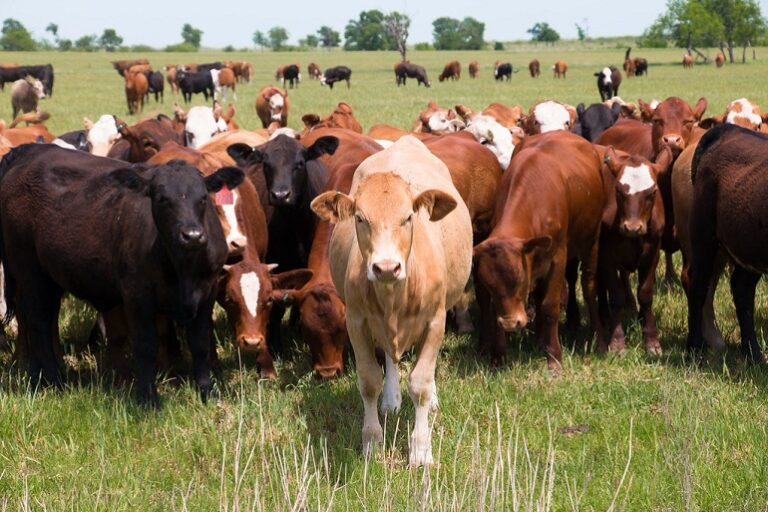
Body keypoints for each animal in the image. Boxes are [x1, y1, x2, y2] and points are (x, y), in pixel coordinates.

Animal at [0, 144, 244, 405]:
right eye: (162, 199)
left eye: (203, 198)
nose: (192, 235)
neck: (183, 269)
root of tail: (33, 150)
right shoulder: (136, 293)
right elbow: (146, 344)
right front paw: (148, 398)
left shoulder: (207, 291)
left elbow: (199, 343)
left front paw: (207, 392)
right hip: (28, 268)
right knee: (38, 321)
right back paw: (54, 381)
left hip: (50, 275)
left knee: (42, 317)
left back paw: (39, 378)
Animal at [311, 135, 473, 467]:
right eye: (360, 218)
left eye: (408, 217)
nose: (386, 267)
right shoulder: (356, 322)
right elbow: (369, 381)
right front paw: (372, 441)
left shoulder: (436, 320)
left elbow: (421, 384)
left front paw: (421, 449)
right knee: (389, 356)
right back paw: (391, 398)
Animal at [473, 131, 606, 368]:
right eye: (488, 285)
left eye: (518, 280)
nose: (510, 324)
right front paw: (499, 355)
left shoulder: (558, 257)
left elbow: (549, 306)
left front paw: (554, 357)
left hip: (592, 238)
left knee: (589, 286)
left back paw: (598, 339)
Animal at [597, 146, 673, 355]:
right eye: (618, 190)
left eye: (652, 192)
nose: (632, 227)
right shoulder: (606, 255)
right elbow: (616, 295)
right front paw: (616, 341)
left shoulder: (653, 253)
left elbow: (645, 294)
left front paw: (652, 340)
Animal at [687, 124, 768, 363]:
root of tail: (729, 129)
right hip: (703, 235)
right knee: (698, 287)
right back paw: (694, 349)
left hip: (749, 246)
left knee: (742, 289)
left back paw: (752, 353)